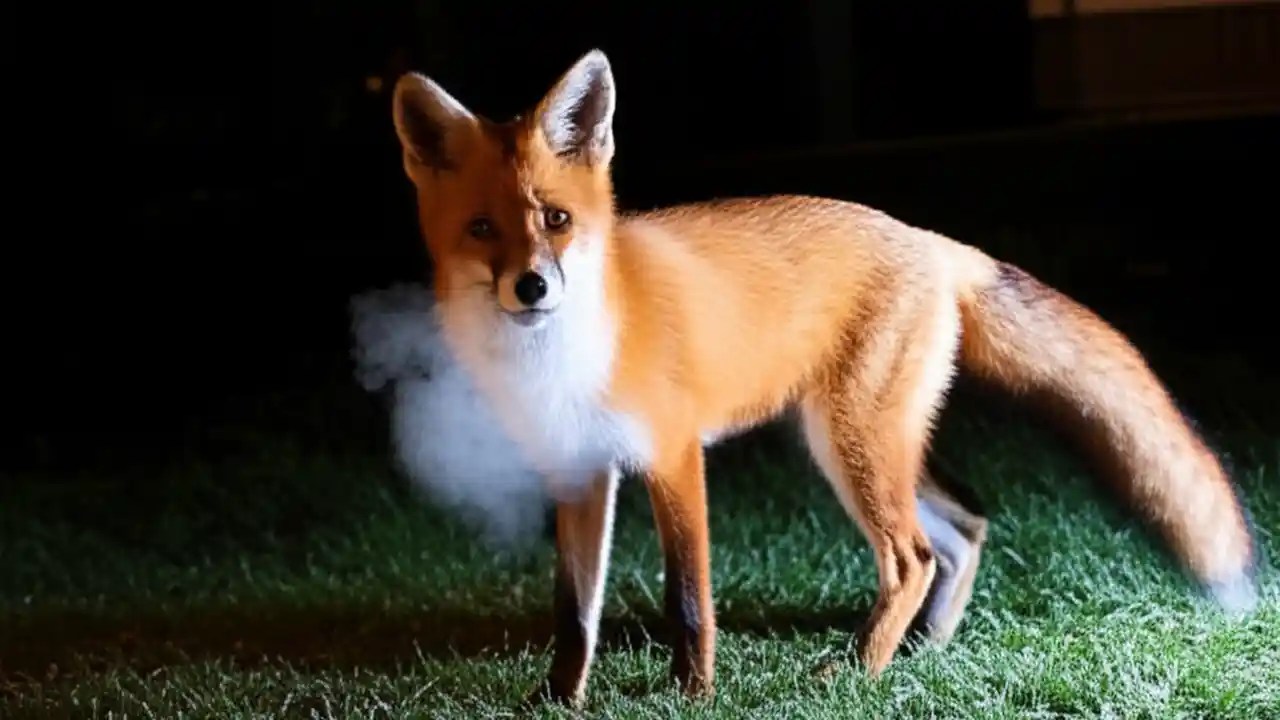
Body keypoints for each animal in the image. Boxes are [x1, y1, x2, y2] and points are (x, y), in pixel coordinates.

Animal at [388, 49, 1260, 705]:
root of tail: (932, 239)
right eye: (482, 229)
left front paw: (691, 696)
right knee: (966, 525)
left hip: (850, 444)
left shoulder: (673, 454)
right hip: (858, 447)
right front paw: (557, 700)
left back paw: (861, 672)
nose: (531, 286)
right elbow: (574, 611)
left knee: (912, 556)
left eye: (557, 219)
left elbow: (688, 598)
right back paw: (924, 652)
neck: (566, 356)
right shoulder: (578, 473)